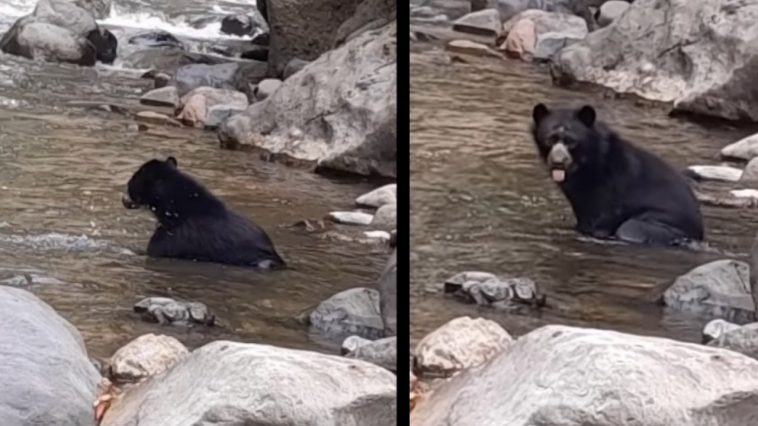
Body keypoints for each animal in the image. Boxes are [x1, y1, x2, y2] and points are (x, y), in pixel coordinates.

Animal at [530, 103, 704, 246]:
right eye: (550, 139)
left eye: (571, 141)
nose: (558, 161)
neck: (585, 164)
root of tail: (699, 234)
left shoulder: (609, 187)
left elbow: (601, 217)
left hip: (661, 224)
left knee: (630, 228)